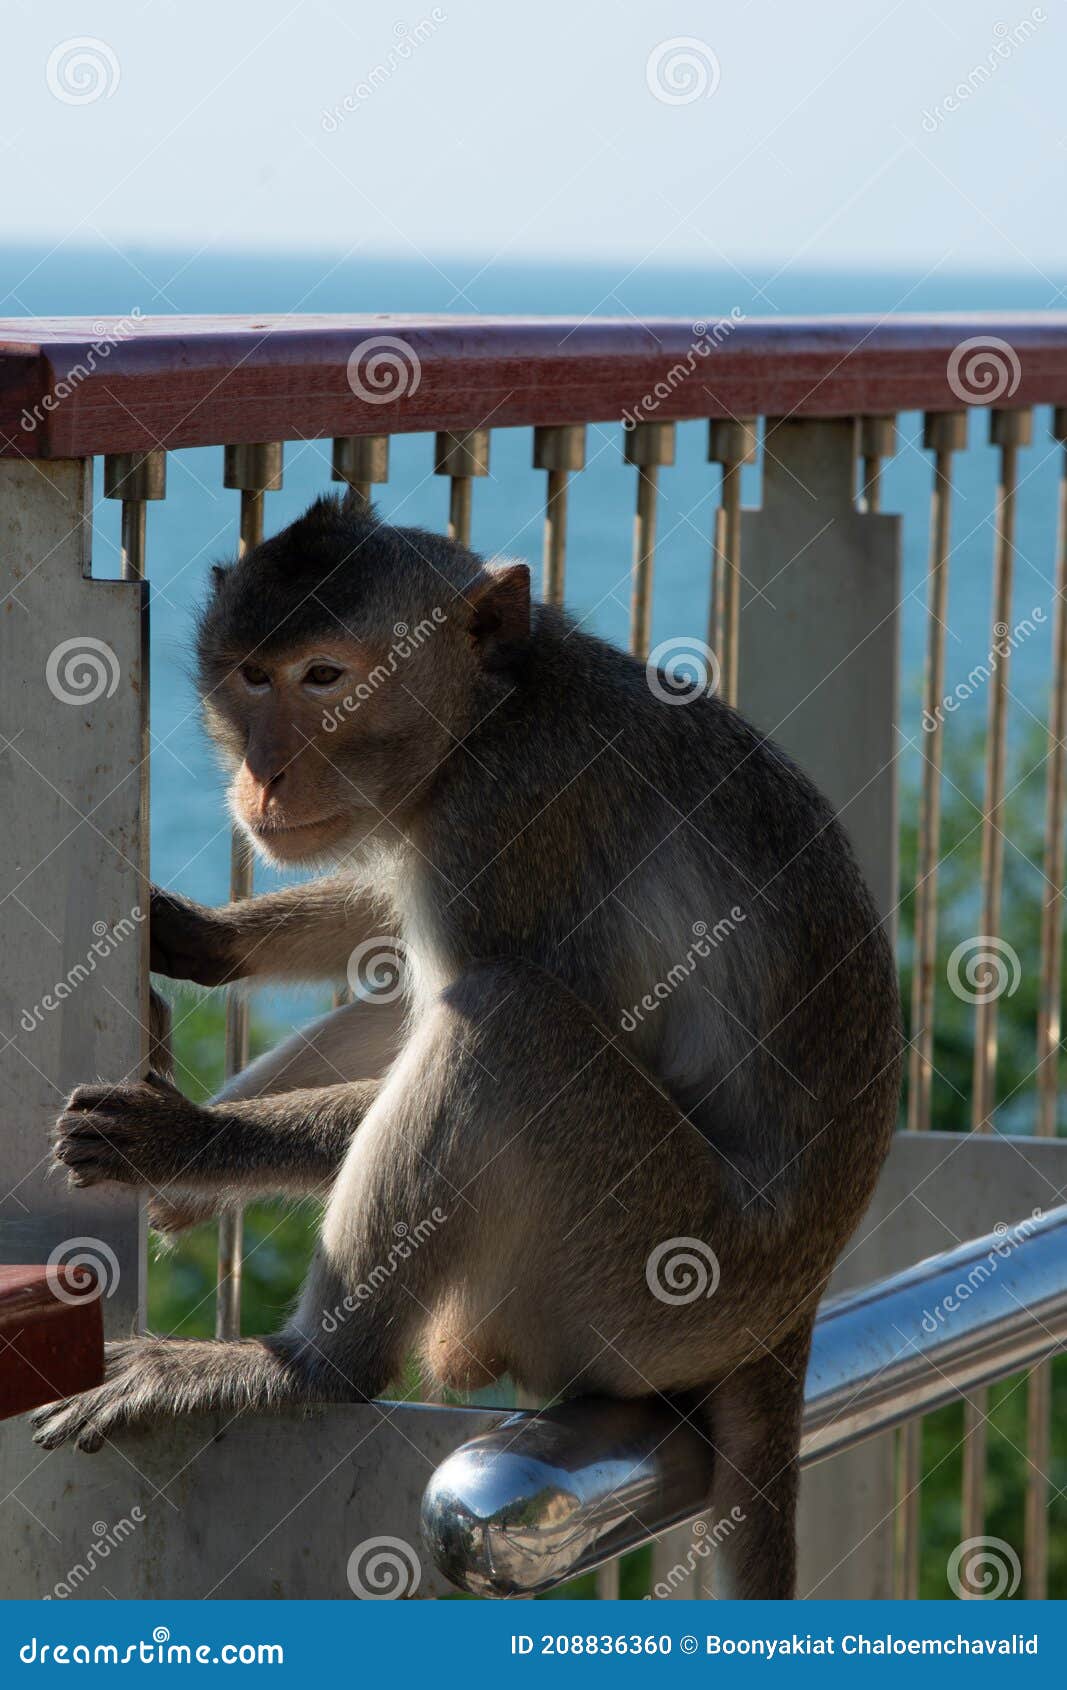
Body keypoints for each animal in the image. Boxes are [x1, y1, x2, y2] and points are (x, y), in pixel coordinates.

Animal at [34, 493, 902, 1600]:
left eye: (326, 676)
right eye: (250, 675)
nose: (264, 773)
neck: (489, 714)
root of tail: (788, 1316)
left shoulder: (502, 829)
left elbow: (493, 991)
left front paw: (179, 1140)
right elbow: (382, 915)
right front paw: (198, 935)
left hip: (655, 1272)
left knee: (503, 1012)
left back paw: (301, 1364)